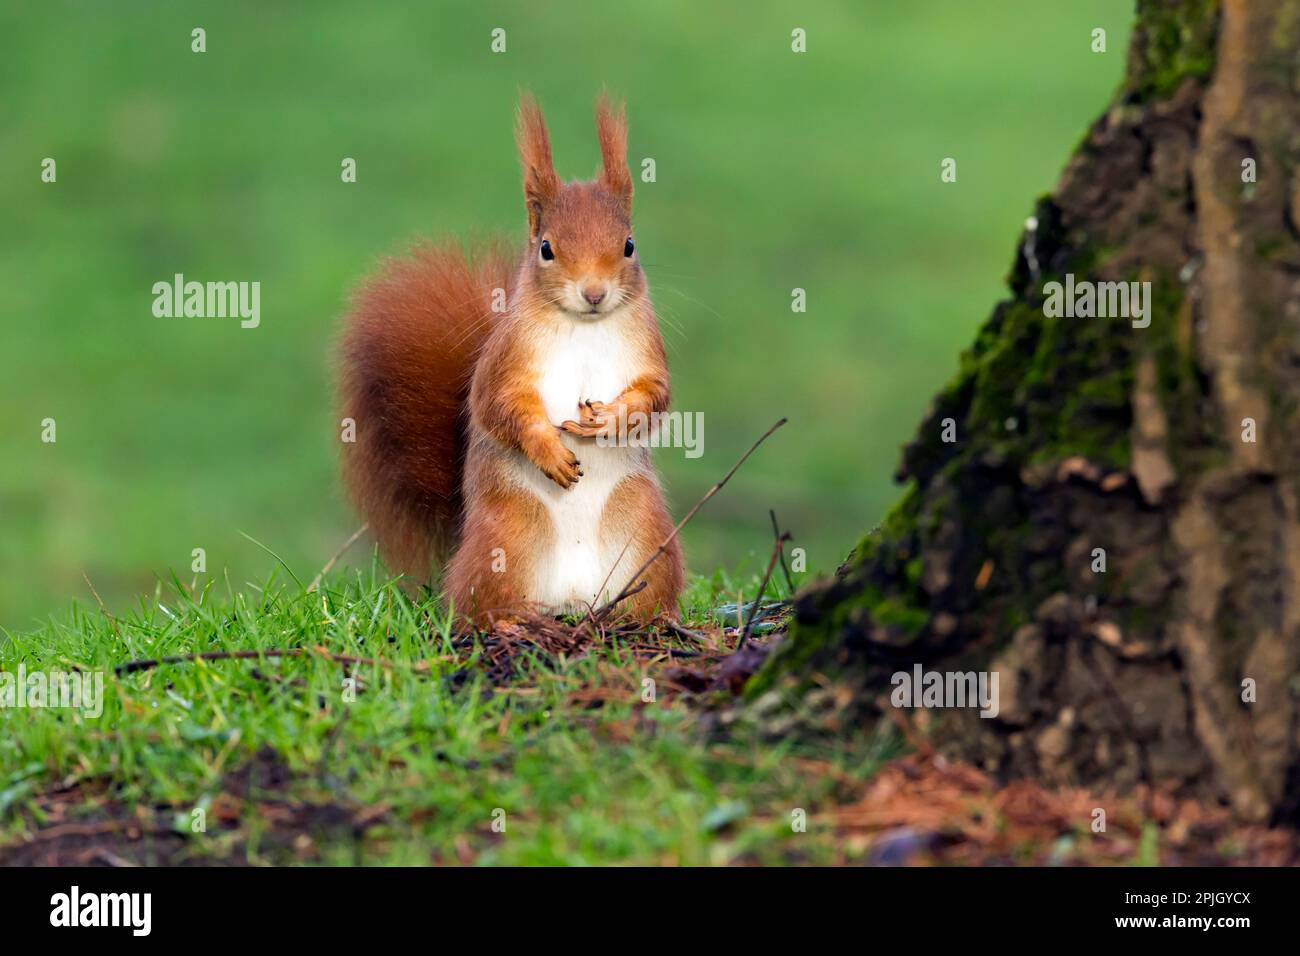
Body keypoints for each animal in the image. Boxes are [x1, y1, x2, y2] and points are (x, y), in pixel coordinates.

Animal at [339, 94, 684, 627]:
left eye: (629, 245)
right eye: (546, 249)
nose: (594, 293)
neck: (584, 327)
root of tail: (572, 600)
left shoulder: (647, 352)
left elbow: (655, 396)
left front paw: (609, 418)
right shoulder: (505, 360)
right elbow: (497, 406)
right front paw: (549, 450)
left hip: (647, 535)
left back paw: (644, 619)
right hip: (507, 536)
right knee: (473, 606)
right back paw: (509, 621)